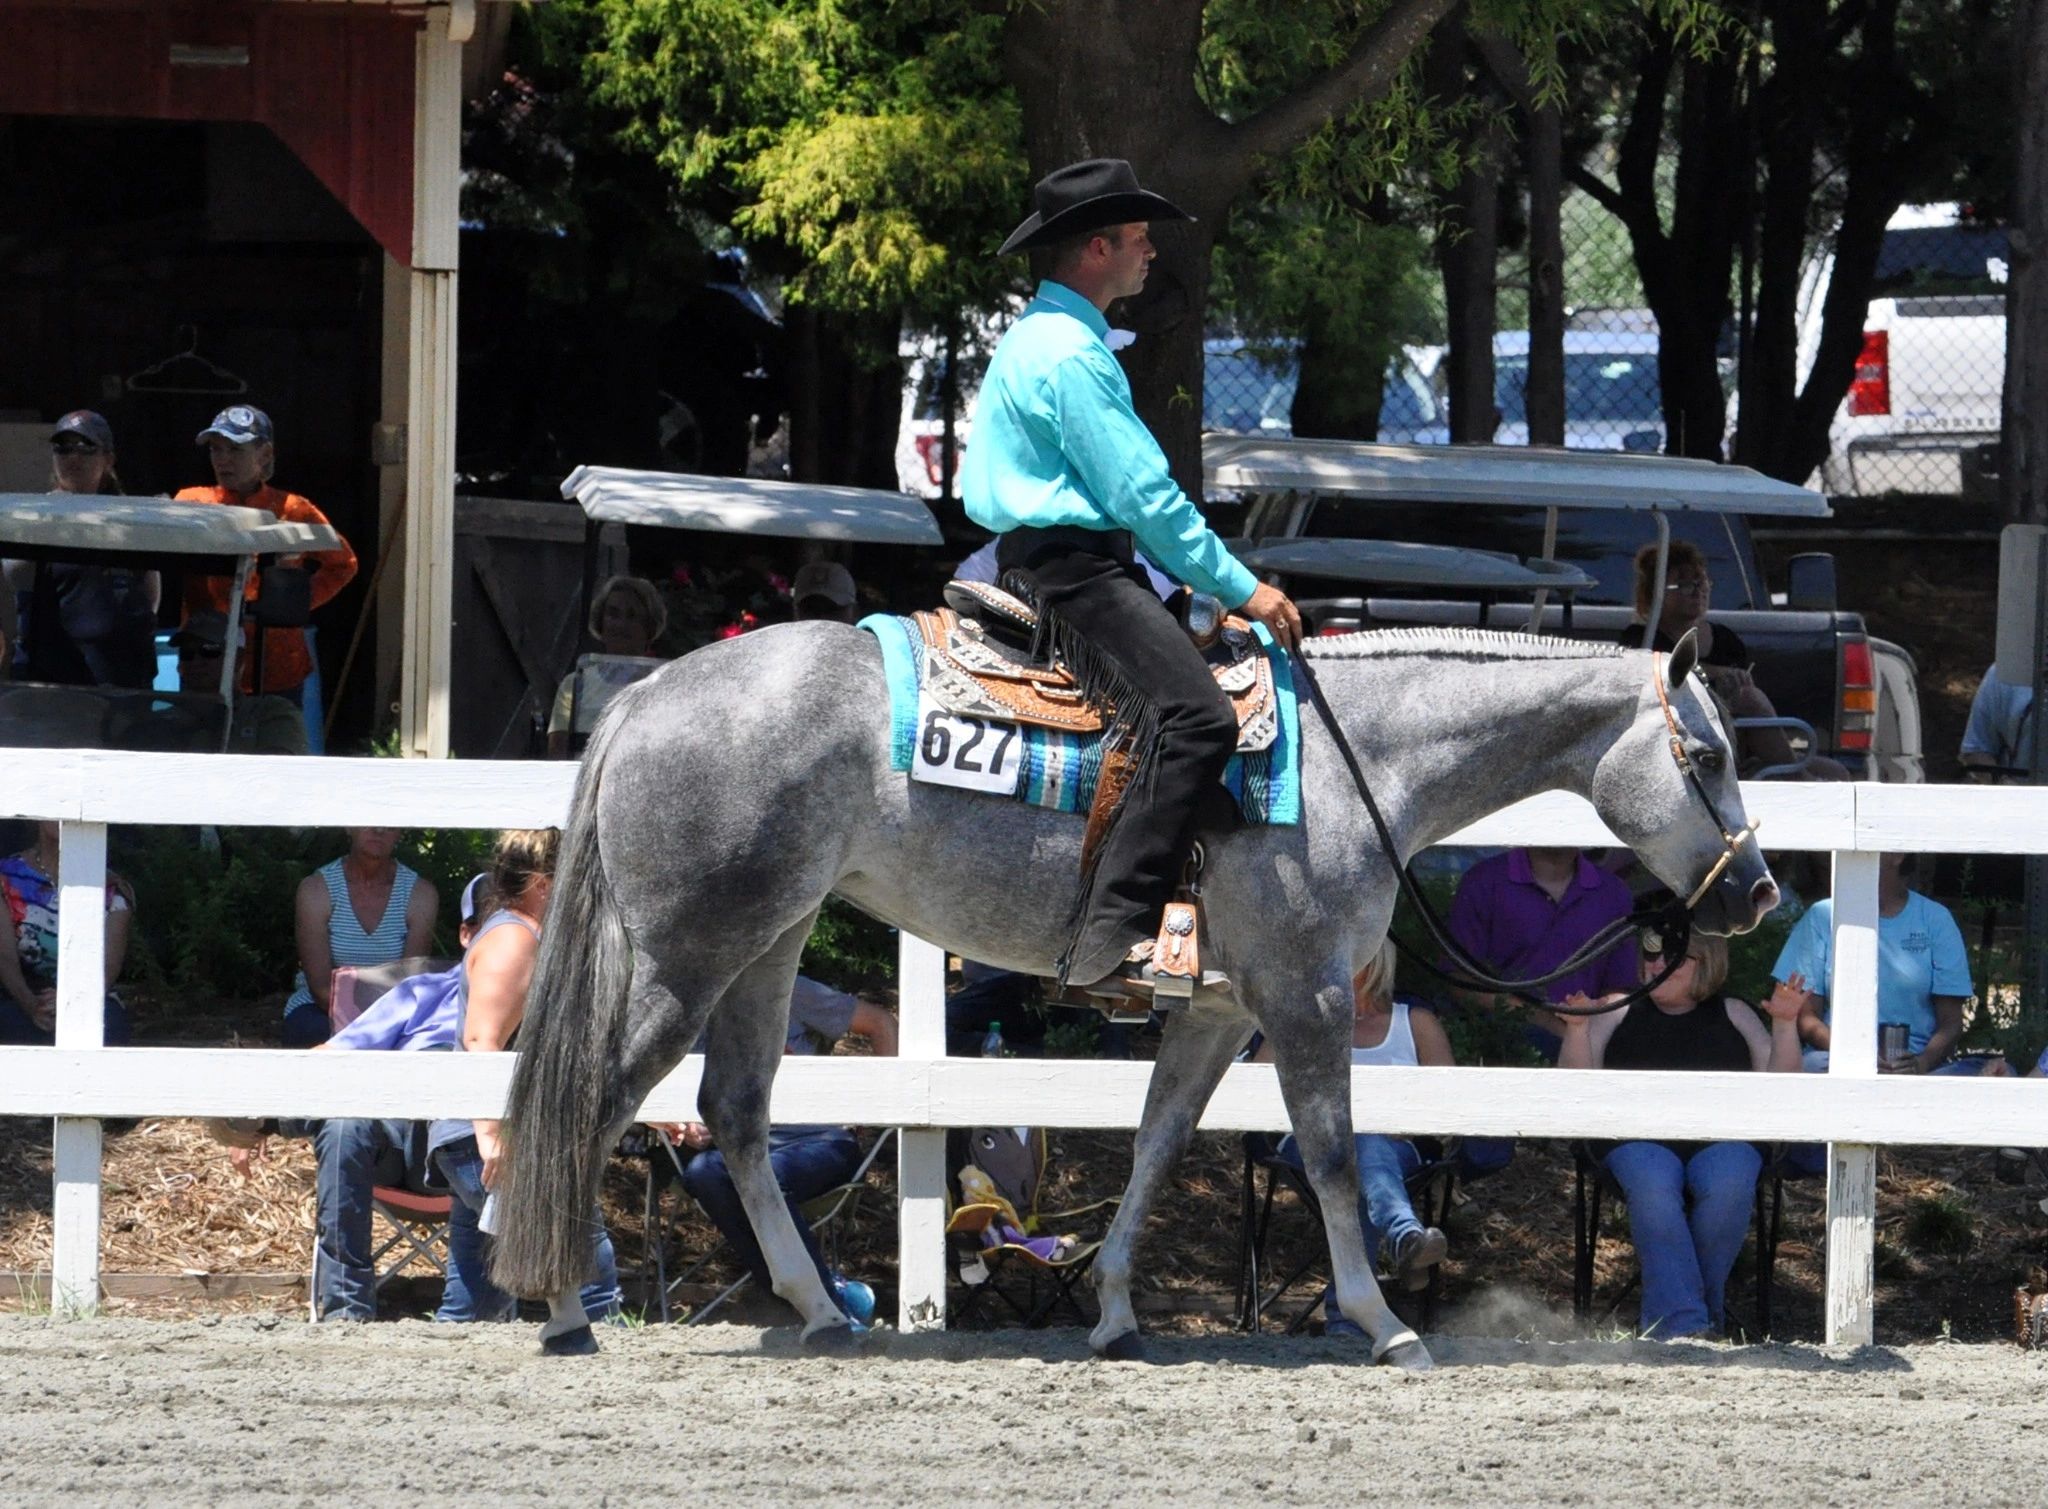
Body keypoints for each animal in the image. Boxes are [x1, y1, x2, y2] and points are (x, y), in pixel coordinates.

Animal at [490, 621, 1777, 1367]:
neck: (1356, 754)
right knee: (595, 1105)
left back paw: (816, 1309)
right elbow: (1328, 1159)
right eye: (1709, 756)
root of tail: (646, 694)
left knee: (738, 1114)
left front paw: (1110, 1309)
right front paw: (1381, 1320)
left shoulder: (1217, 1008)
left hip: (767, 946)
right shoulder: (1304, 997)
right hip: (687, 955)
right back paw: (558, 1307)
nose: (1755, 892)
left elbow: (1158, 1143)